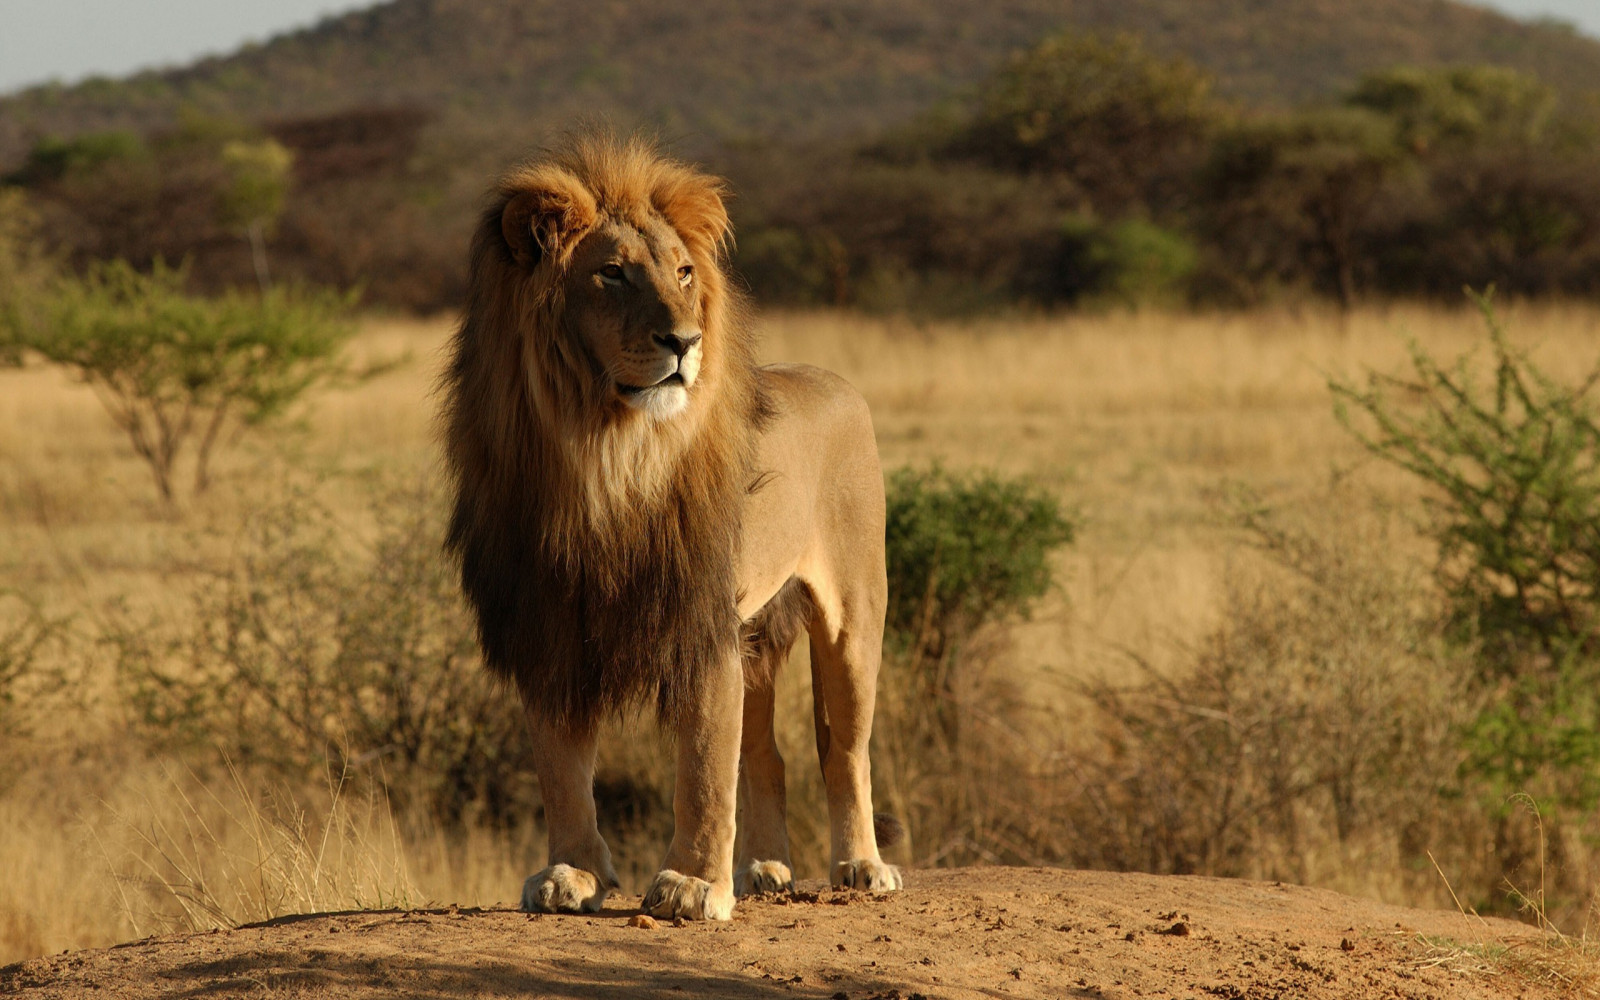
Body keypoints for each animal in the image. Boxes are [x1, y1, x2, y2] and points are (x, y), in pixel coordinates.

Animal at [442, 133, 901, 921]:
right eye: (612, 274)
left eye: (684, 273)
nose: (683, 341)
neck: (604, 454)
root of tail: (836, 381)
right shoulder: (548, 623)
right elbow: (562, 767)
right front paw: (572, 874)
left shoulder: (699, 620)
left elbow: (704, 766)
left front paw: (691, 885)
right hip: (757, 634)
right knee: (768, 753)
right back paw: (765, 869)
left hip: (853, 618)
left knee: (844, 749)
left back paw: (861, 866)